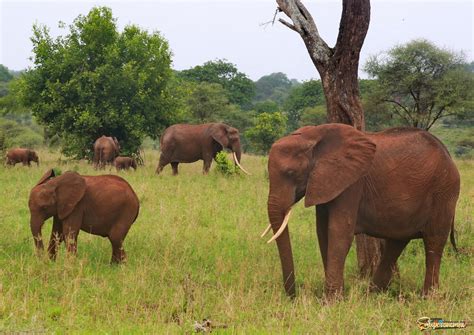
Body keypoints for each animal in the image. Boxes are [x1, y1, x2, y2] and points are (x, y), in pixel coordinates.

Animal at [262, 124, 460, 300]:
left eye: (291, 172)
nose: (293, 297)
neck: (313, 136)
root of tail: (448, 154)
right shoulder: (326, 182)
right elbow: (323, 232)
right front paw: (337, 296)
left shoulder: (352, 182)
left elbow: (339, 232)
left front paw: (331, 301)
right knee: (396, 243)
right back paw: (372, 295)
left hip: (444, 192)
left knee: (434, 243)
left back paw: (427, 298)